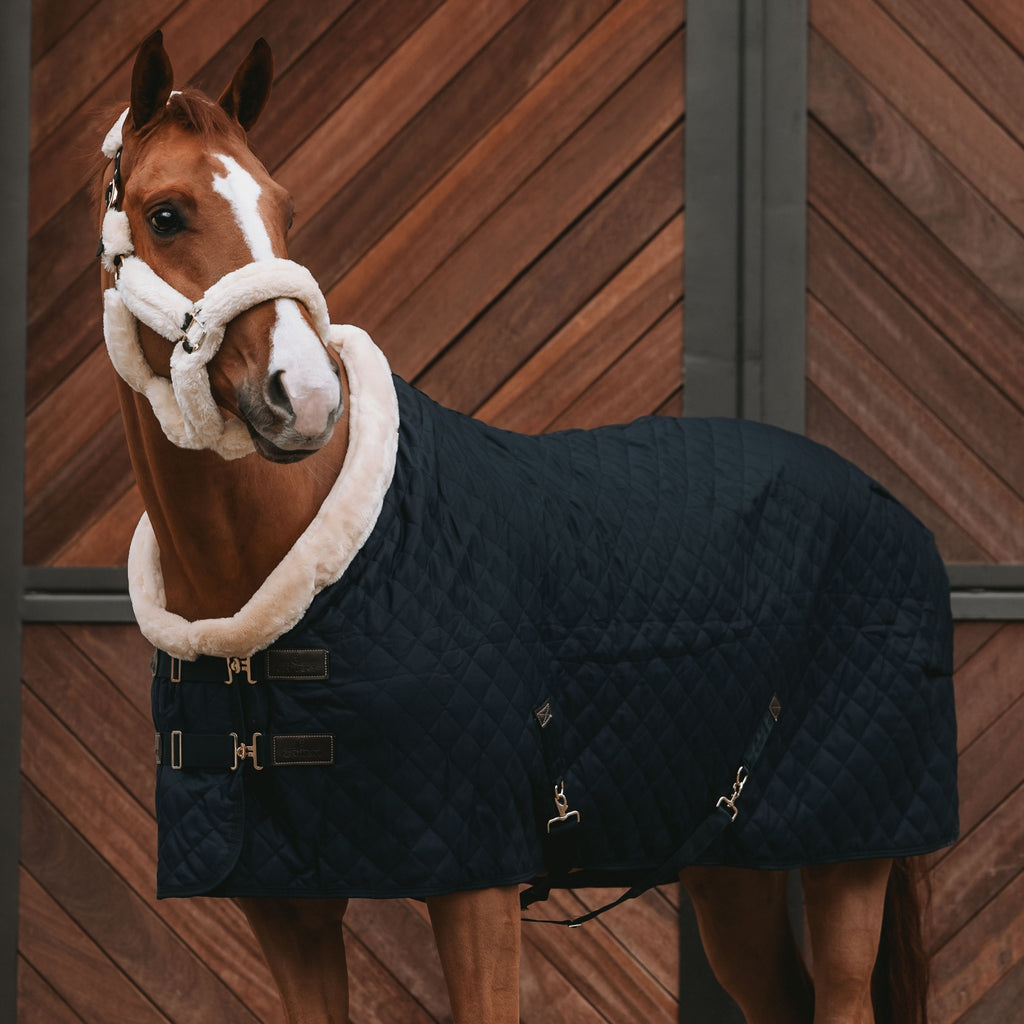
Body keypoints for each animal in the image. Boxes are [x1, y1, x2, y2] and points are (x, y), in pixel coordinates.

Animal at [96, 31, 957, 1024]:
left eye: (283, 206)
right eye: (165, 214)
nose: (304, 397)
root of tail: (885, 499)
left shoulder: (476, 886)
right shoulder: (285, 907)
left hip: (849, 858)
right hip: (730, 866)